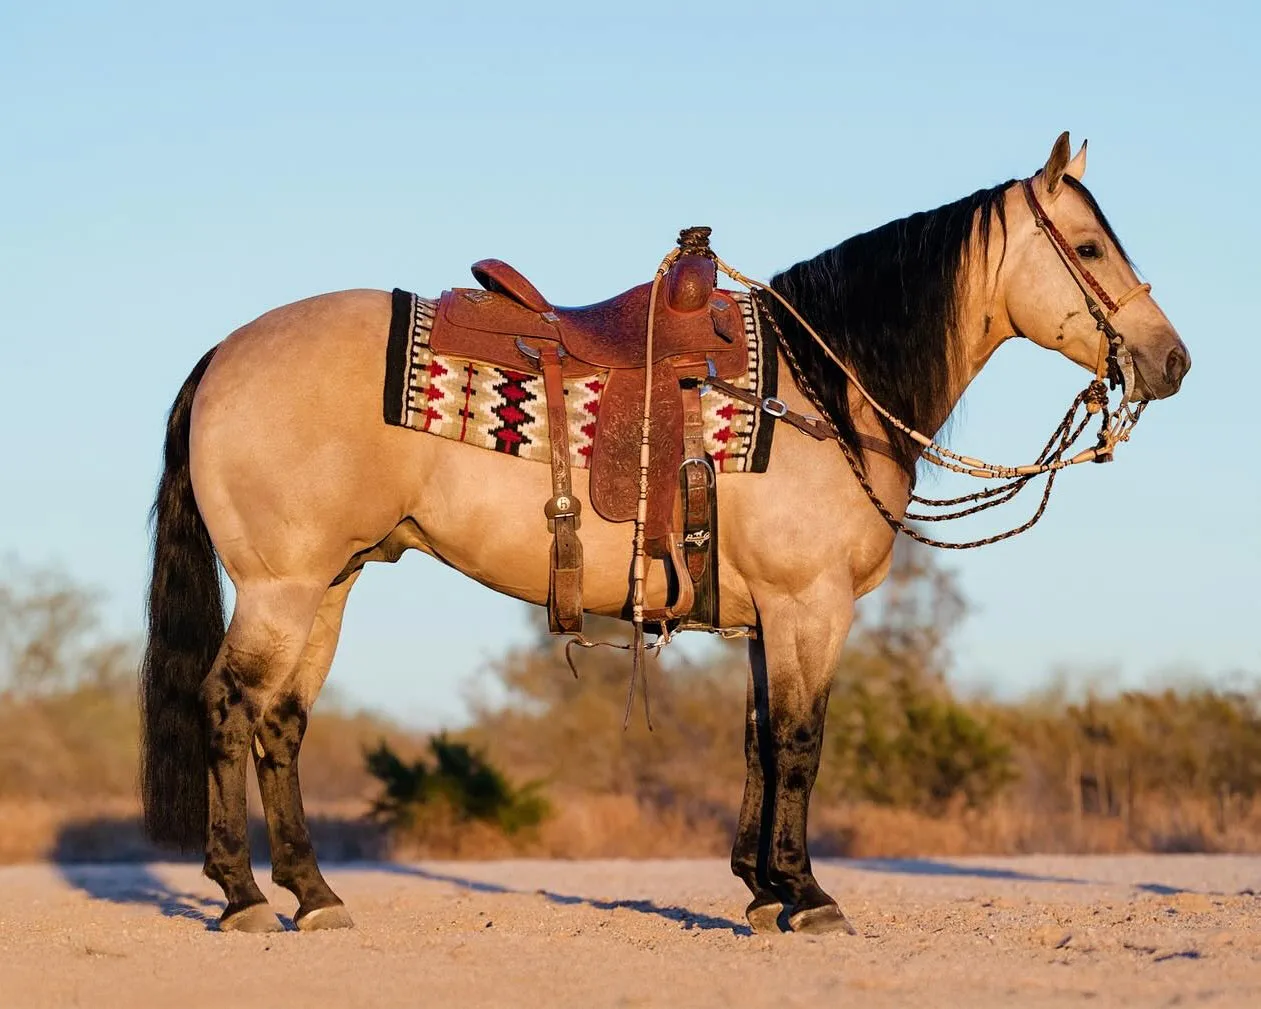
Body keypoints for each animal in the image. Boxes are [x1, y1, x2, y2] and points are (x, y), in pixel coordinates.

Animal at [139, 133, 1189, 934]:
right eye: (1088, 246)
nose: (1170, 360)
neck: (820, 386)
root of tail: (226, 353)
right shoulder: (810, 605)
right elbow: (801, 740)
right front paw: (806, 894)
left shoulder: (769, 615)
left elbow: (759, 739)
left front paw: (761, 892)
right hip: (280, 586)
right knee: (228, 706)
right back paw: (242, 896)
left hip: (328, 583)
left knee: (282, 722)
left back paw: (315, 895)